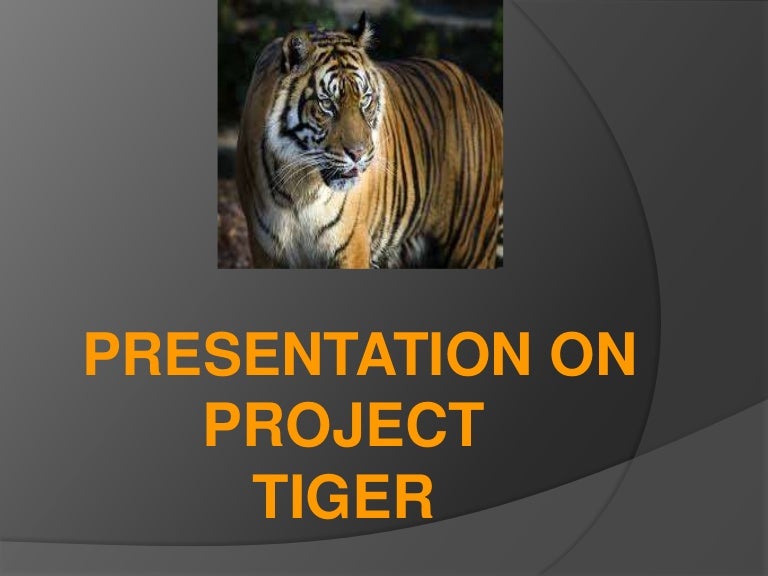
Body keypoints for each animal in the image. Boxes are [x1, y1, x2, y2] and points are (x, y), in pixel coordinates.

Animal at [235, 13, 503, 269]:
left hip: (472, 246)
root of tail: (484, 95)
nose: (358, 153)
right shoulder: (264, 251)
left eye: (365, 99)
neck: (300, 190)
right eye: (327, 104)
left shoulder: (352, 247)